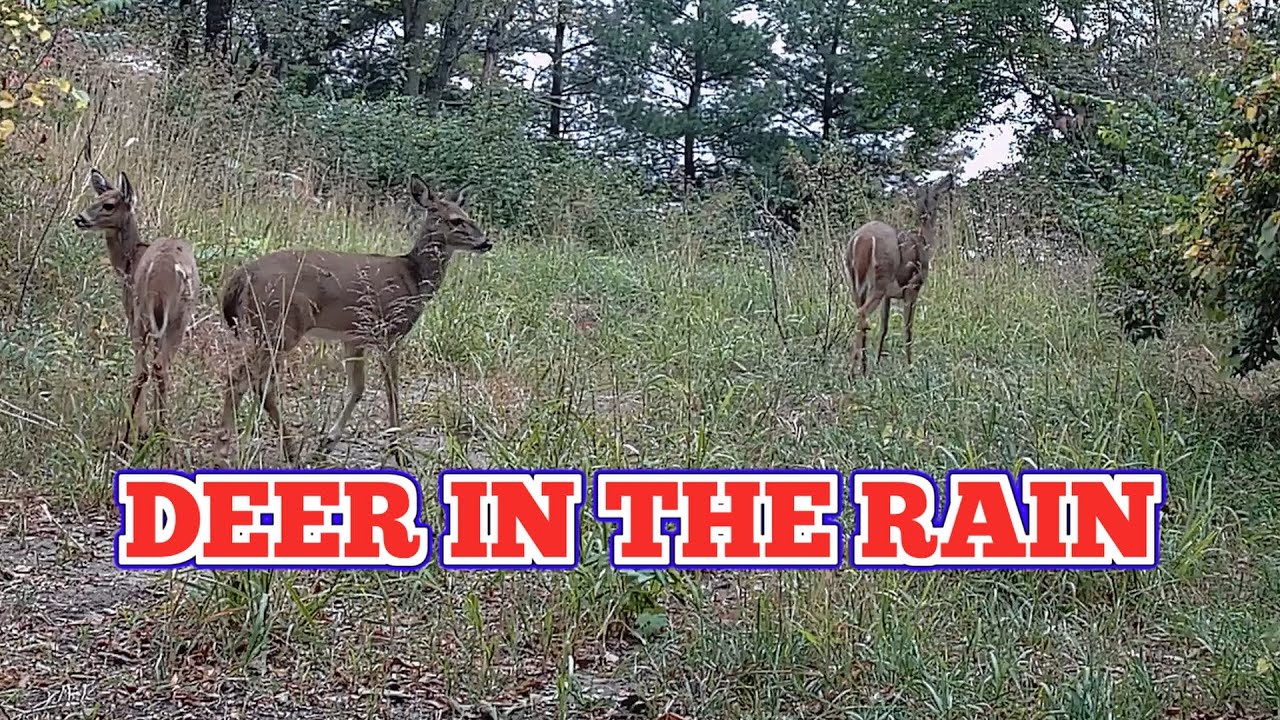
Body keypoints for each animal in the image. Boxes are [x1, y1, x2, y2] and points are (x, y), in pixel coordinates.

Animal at [73, 168, 201, 445]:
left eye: (109, 205)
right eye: (97, 197)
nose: (80, 218)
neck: (130, 259)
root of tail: (174, 270)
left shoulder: (131, 311)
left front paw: (139, 429)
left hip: (143, 313)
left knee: (144, 369)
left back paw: (132, 435)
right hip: (180, 317)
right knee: (161, 366)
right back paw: (161, 433)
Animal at [215, 174, 493, 462]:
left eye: (468, 215)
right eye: (456, 220)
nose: (486, 242)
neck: (414, 279)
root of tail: (240, 277)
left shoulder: (353, 338)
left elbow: (358, 388)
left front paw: (327, 443)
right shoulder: (390, 331)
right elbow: (392, 390)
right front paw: (397, 450)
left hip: (267, 329)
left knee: (257, 383)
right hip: (280, 326)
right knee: (244, 379)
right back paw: (236, 447)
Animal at [844, 173, 954, 376]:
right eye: (936, 195)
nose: (927, 213)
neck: (924, 242)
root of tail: (862, 239)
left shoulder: (889, 295)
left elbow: (884, 327)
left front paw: (878, 361)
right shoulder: (912, 288)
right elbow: (908, 328)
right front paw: (910, 365)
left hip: (856, 282)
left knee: (861, 316)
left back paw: (863, 367)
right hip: (880, 278)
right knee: (861, 314)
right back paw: (853, 371)